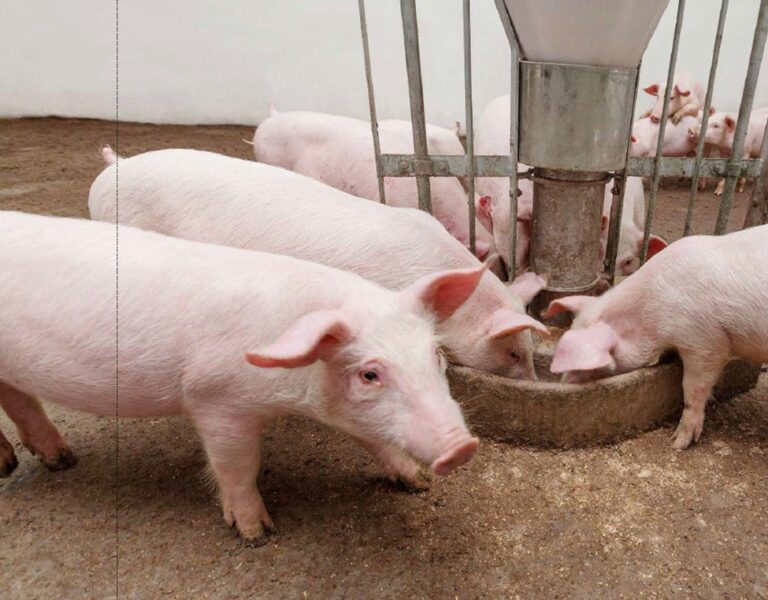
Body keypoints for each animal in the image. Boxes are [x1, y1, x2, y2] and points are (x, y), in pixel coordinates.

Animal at [0, 210, 484, 544]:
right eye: (370, 374)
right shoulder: (214, 400)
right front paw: (257, 534)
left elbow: (373, 439)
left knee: (18, 400)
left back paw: (56, 461)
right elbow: (237, 465)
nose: (462, 446)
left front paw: (416, 482)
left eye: (436, 355)